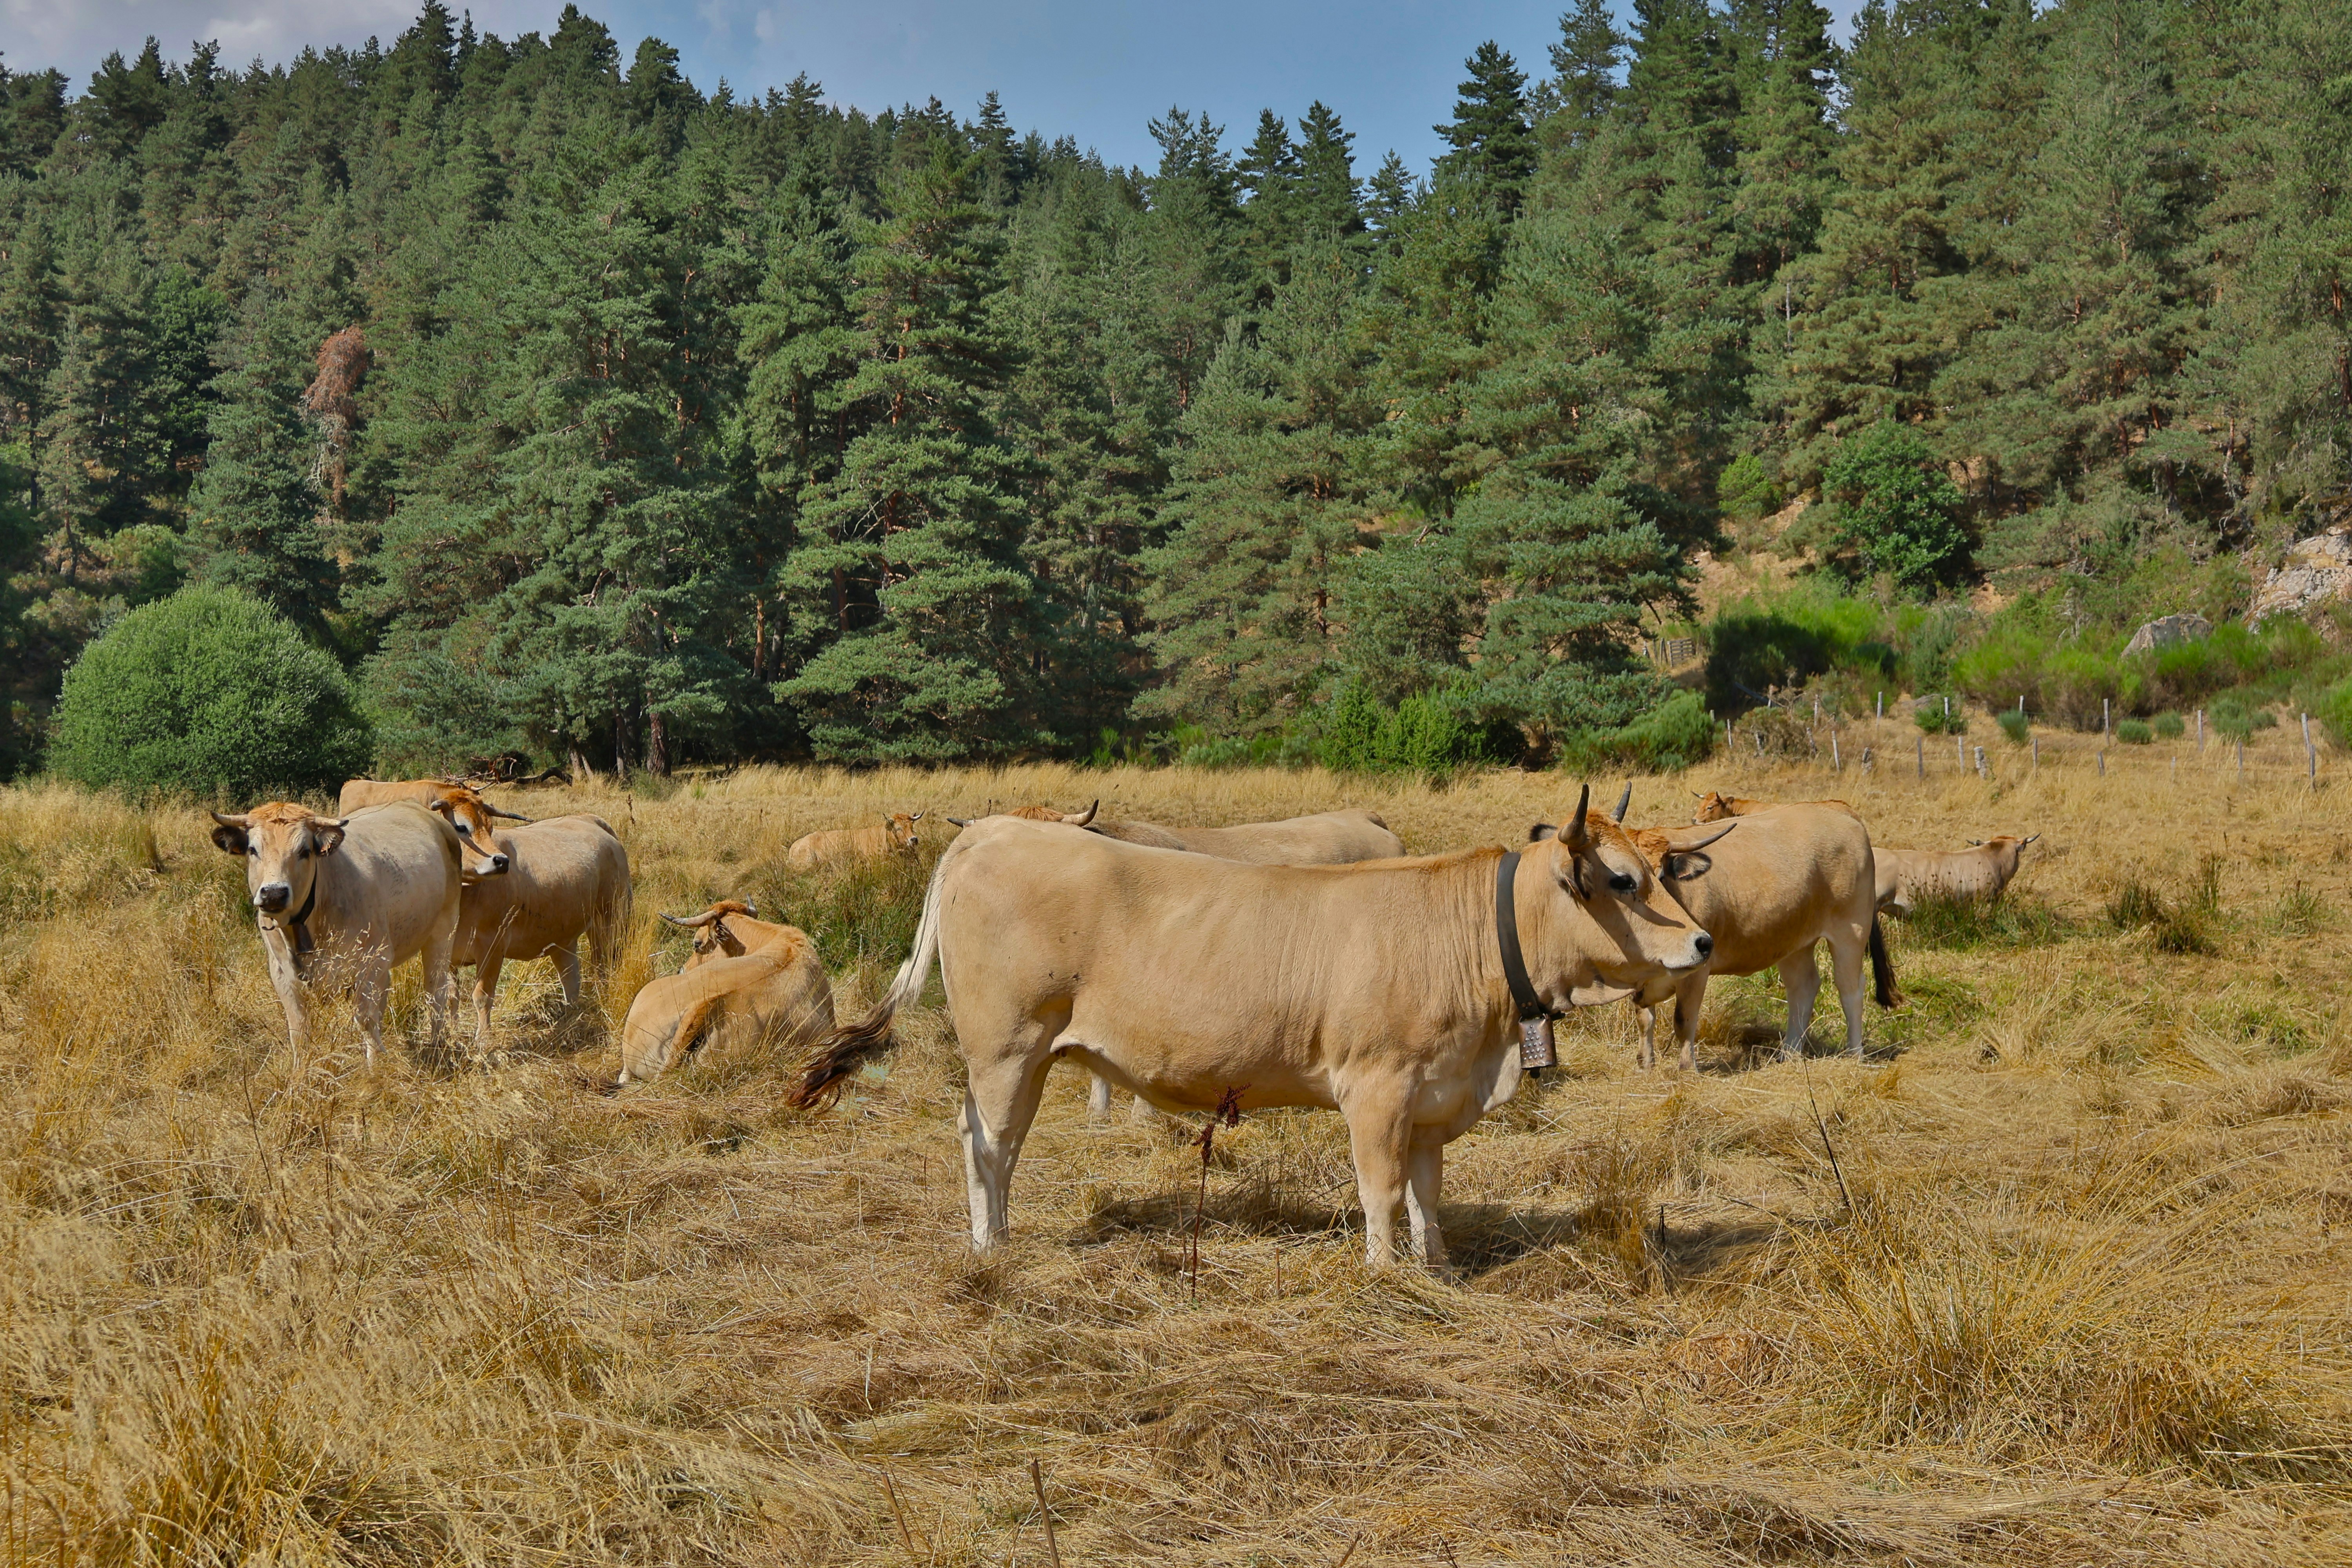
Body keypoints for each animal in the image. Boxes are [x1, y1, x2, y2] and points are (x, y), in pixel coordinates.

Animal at [208, 800, 470, 1066]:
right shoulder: (281, 973)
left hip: (442, 934)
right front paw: (300, 1072)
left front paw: (375, 1068)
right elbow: (299, 1030)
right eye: (253, 850)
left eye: (305, 851)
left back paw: (436, 1046)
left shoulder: (372, 962)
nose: (274, 894)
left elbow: (366, 1020)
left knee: (437, 992)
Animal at [451, 815, 632, 1053]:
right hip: (564, 936)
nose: (499, 862)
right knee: (571, 979)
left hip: (610, 917)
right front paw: (448, 1035)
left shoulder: (493, 945)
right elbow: (449, 998)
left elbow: (482, 996)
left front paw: (483, 1041)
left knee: (604, 965)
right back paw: (570, 1024)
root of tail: (586, 818)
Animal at [1544, 799, 1894, 1071]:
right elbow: (1645, 1018)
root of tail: (1838, 808)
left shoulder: (1697, 972)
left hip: (1850, 930)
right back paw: (1789, 1054)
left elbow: (1684, 1019)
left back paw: (1855, 1055)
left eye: (1661, 875)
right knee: (1803, 987)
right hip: (1794, 939)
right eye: (1623, 879)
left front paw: (1687, 1069)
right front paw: (1646, 1065)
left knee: (1850, 989)